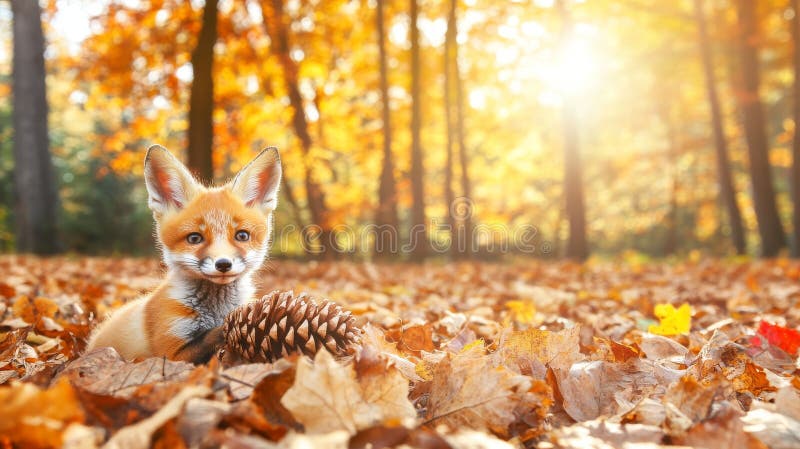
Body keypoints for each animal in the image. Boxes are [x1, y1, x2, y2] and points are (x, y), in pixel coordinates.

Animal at [86, 144, 281, 363]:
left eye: (242, 235)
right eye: (194, 238)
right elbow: (212, 335)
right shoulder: (171, 348)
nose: (223, 264)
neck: (216, 311)